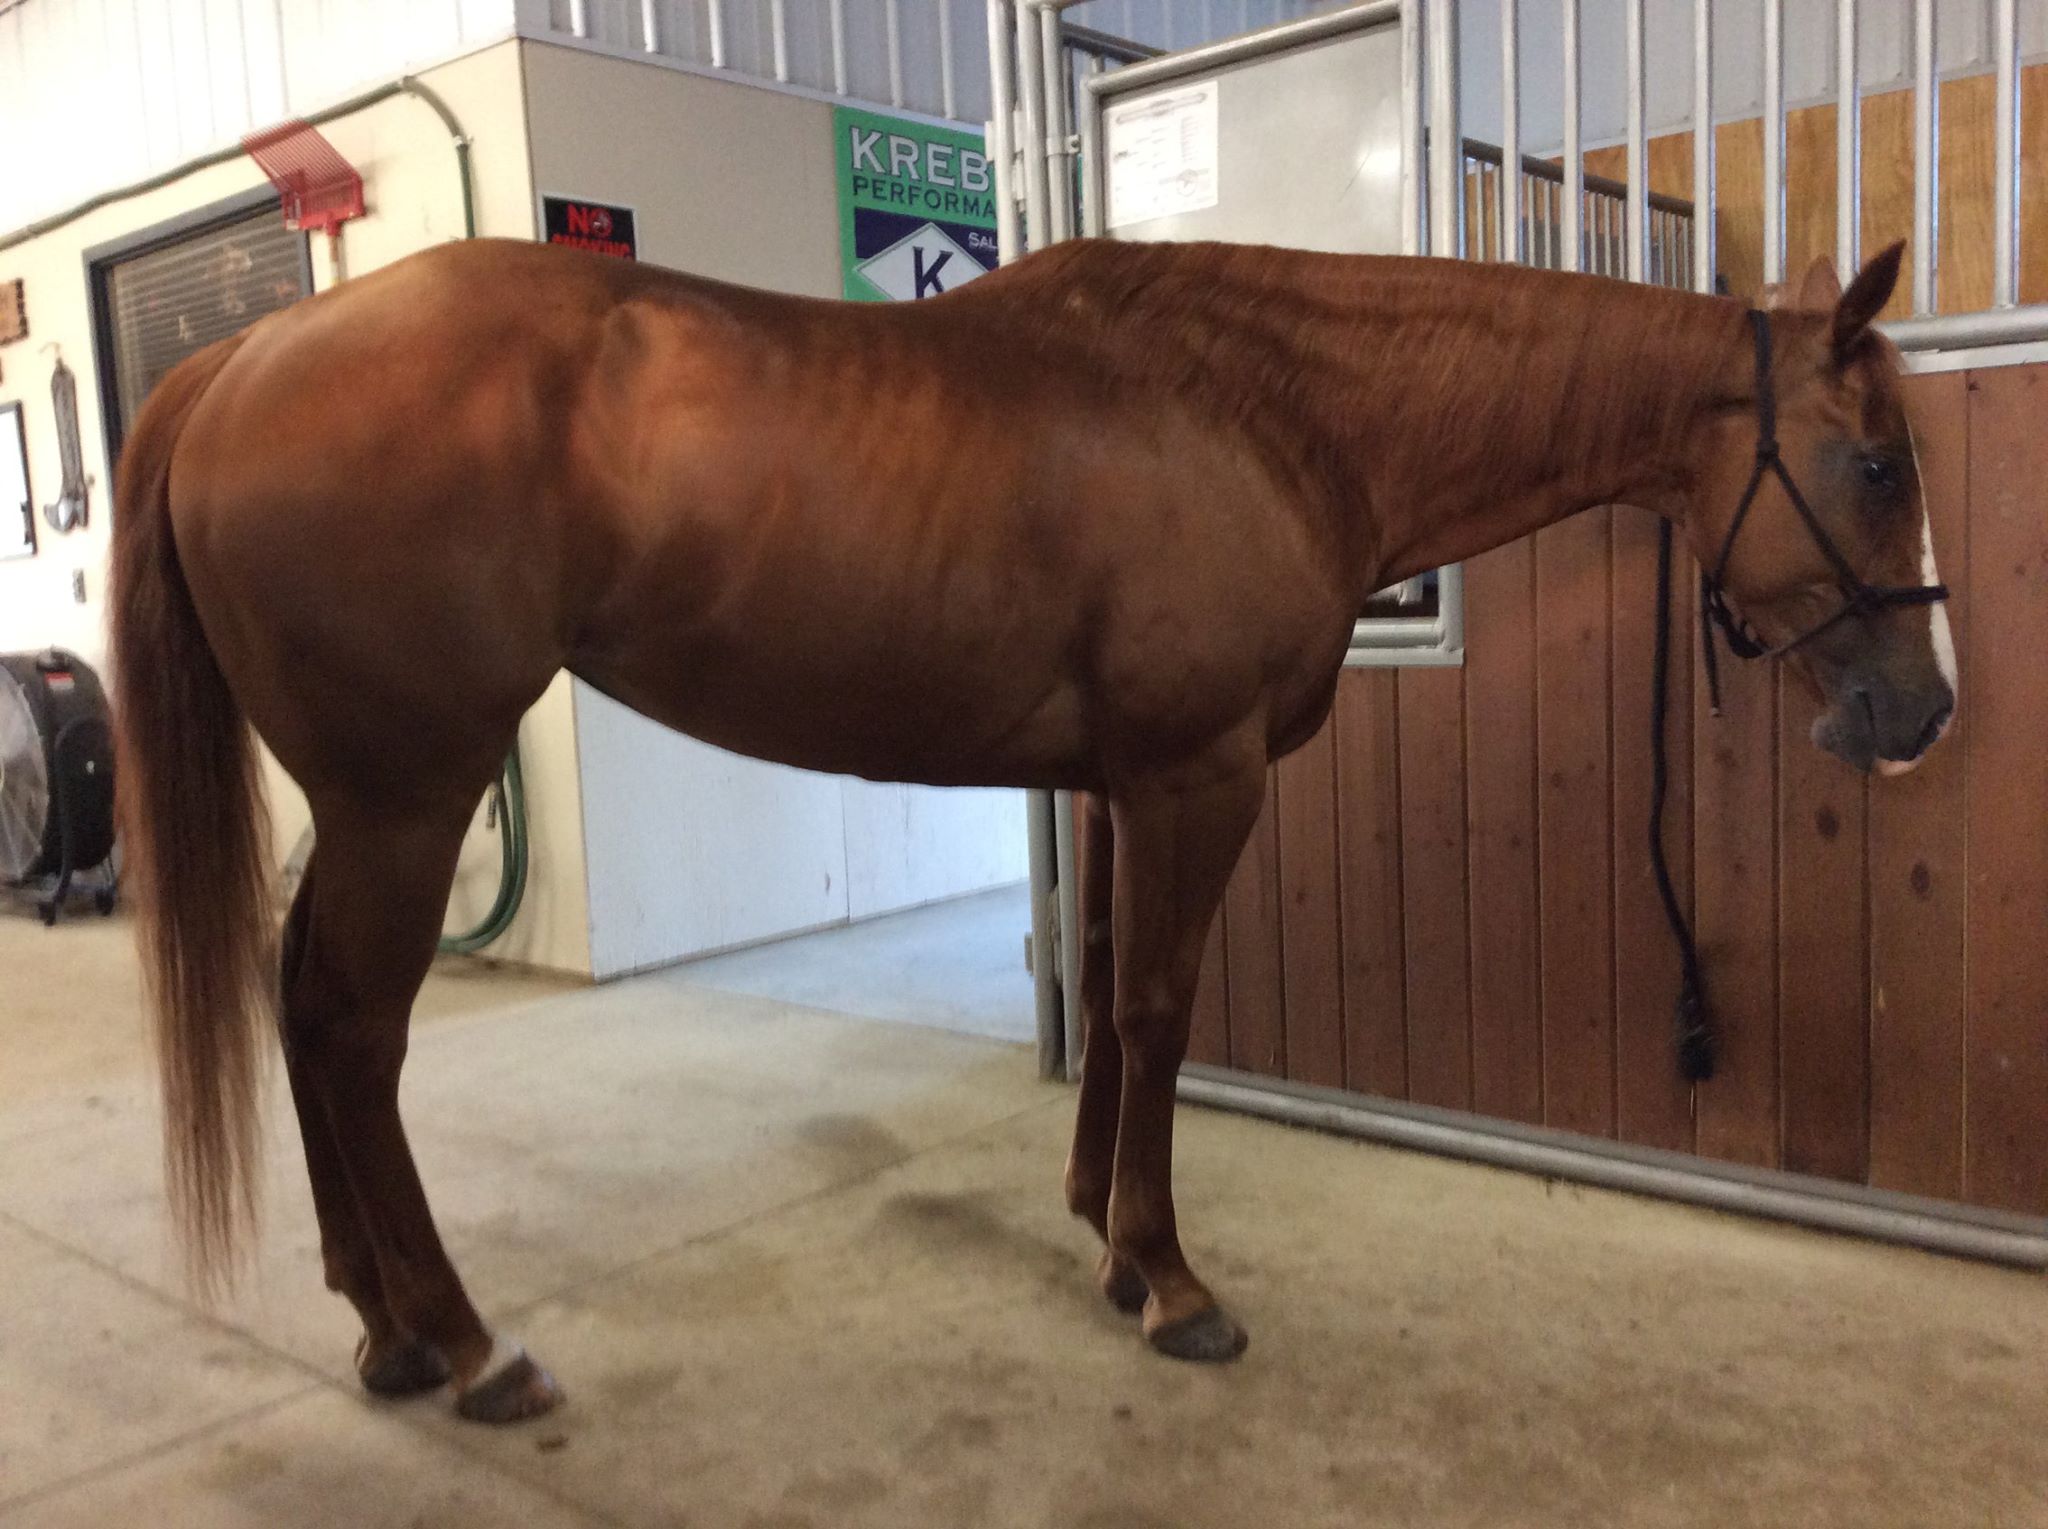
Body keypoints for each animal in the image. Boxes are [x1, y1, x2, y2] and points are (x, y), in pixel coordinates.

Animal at [109, 233, 1954, 1423]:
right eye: (1872, 465)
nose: (1920, 710)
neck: (1264, 406)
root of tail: (235, 360)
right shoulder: (1200, 774)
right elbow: (1158, 1007)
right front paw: (1172, 1278)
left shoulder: (1122, 779)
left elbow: (1110, 985)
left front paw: (1101, 1236)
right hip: (411, 794)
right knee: (351, 1030)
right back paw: (468, 1341)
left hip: (359, 802)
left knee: (298, 1006)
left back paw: (383, 1332)